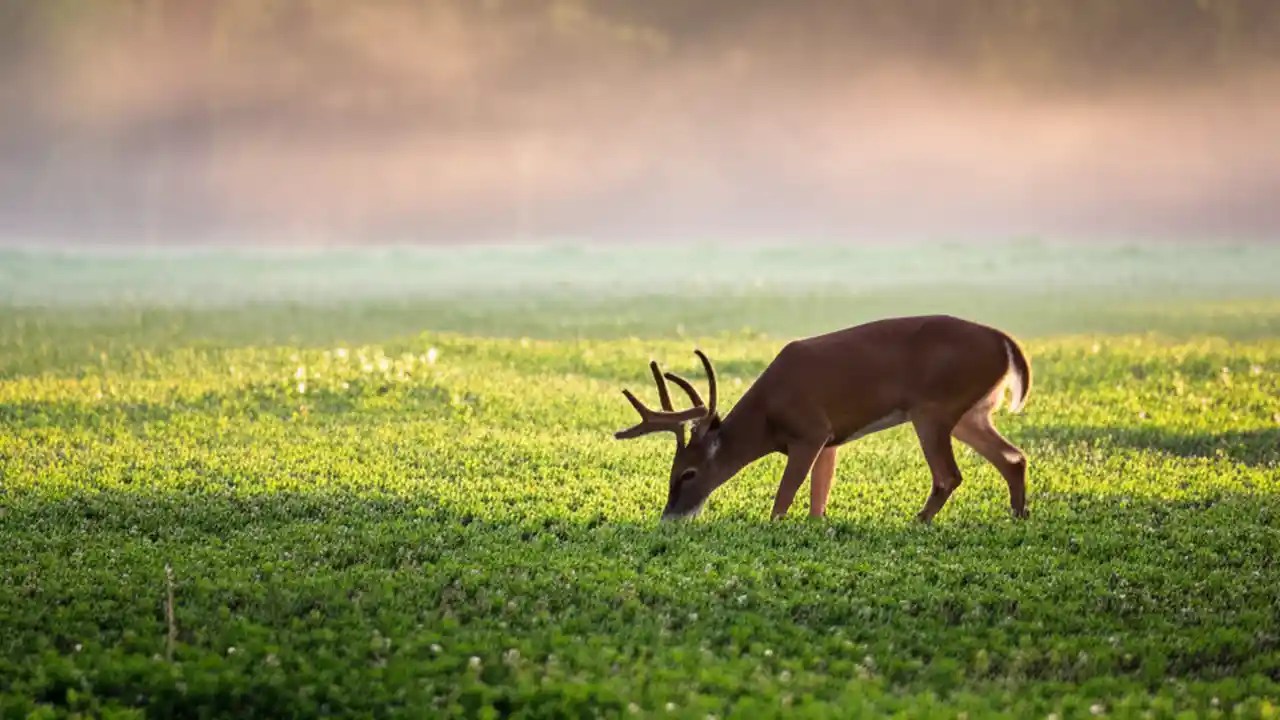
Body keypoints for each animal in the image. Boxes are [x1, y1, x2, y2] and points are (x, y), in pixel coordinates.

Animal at [614, 315, 1031, 523]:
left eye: (687, 473)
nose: (669, 518)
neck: (767, 419)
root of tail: (1007, 344)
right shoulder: (830, 440)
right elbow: (818, 502)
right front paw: (816, 528)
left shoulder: (810, 431)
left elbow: (783, 499)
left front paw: (774, 529)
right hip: (969, 414)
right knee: (1014, 458)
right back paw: (1019, 517)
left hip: (933, 408)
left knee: (948, 475)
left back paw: (917, 522)